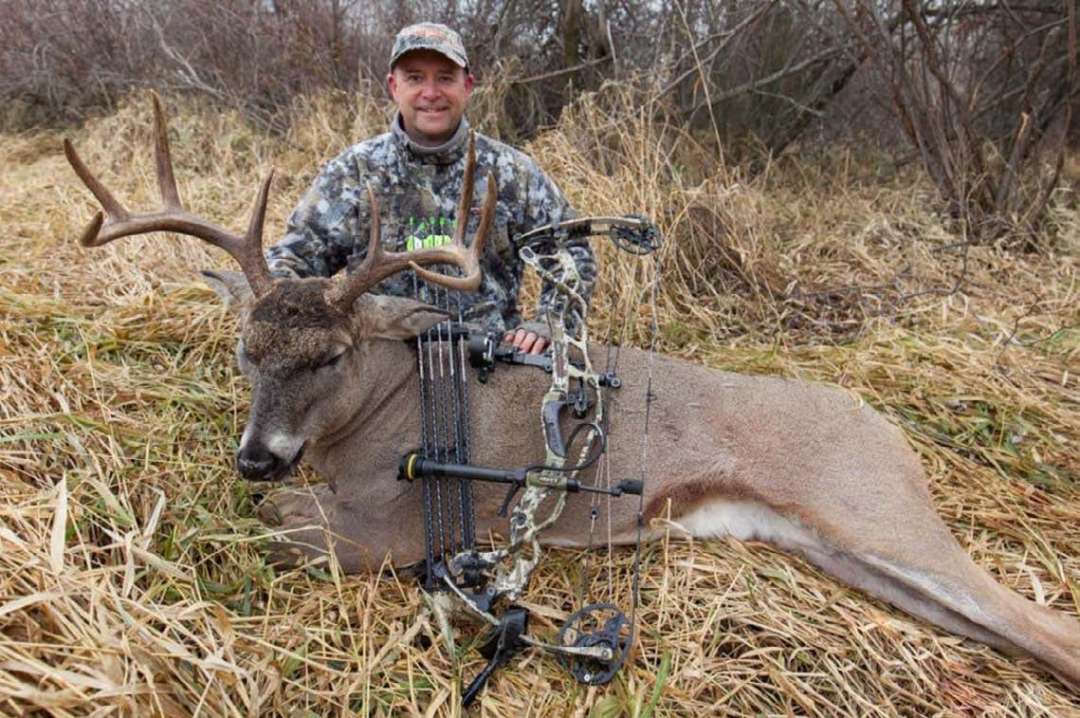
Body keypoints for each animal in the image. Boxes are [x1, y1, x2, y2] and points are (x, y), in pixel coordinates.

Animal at [64, 96, 1080, 692]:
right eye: (247, 351)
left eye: (332, 356)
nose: (257, 454)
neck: (381, 413)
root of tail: (894, 433)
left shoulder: (387, 528)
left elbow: (262, 528)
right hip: (844, 551)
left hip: (870, 506)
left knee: (1040, 620)